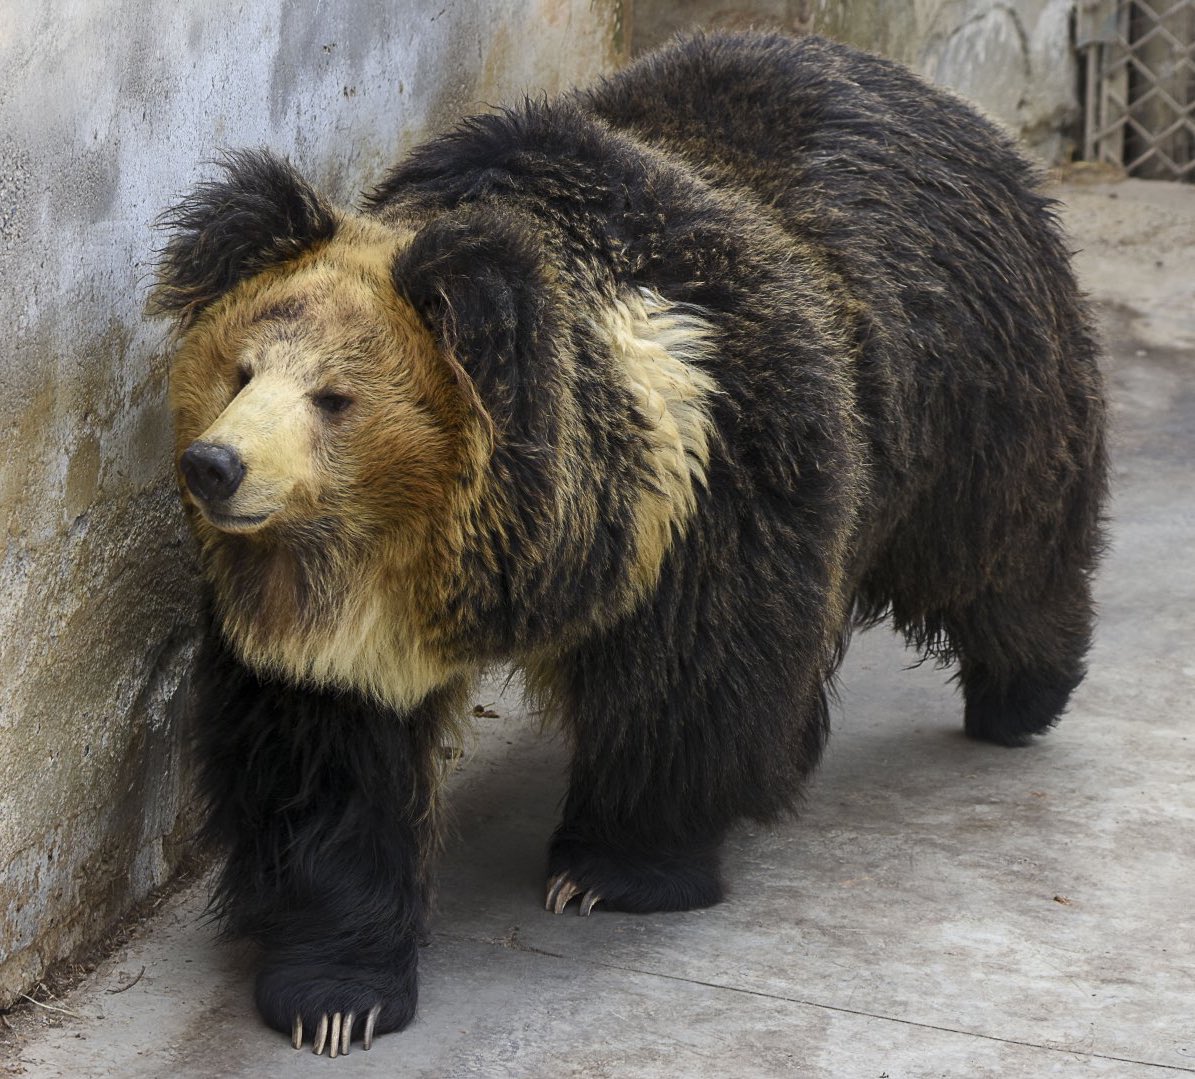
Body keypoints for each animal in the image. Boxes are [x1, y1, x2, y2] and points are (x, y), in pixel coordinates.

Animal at [150, 32, 1106, 1056]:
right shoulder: (331, 623)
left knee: (1005, 553)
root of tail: (931, 96)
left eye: (333, 397)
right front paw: (334, 993)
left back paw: (1022, 696)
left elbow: (690, 687)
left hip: (977, 388)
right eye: (240, 371)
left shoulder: (720, 487)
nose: (215, 465)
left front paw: (613, 868)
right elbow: (322, 758)